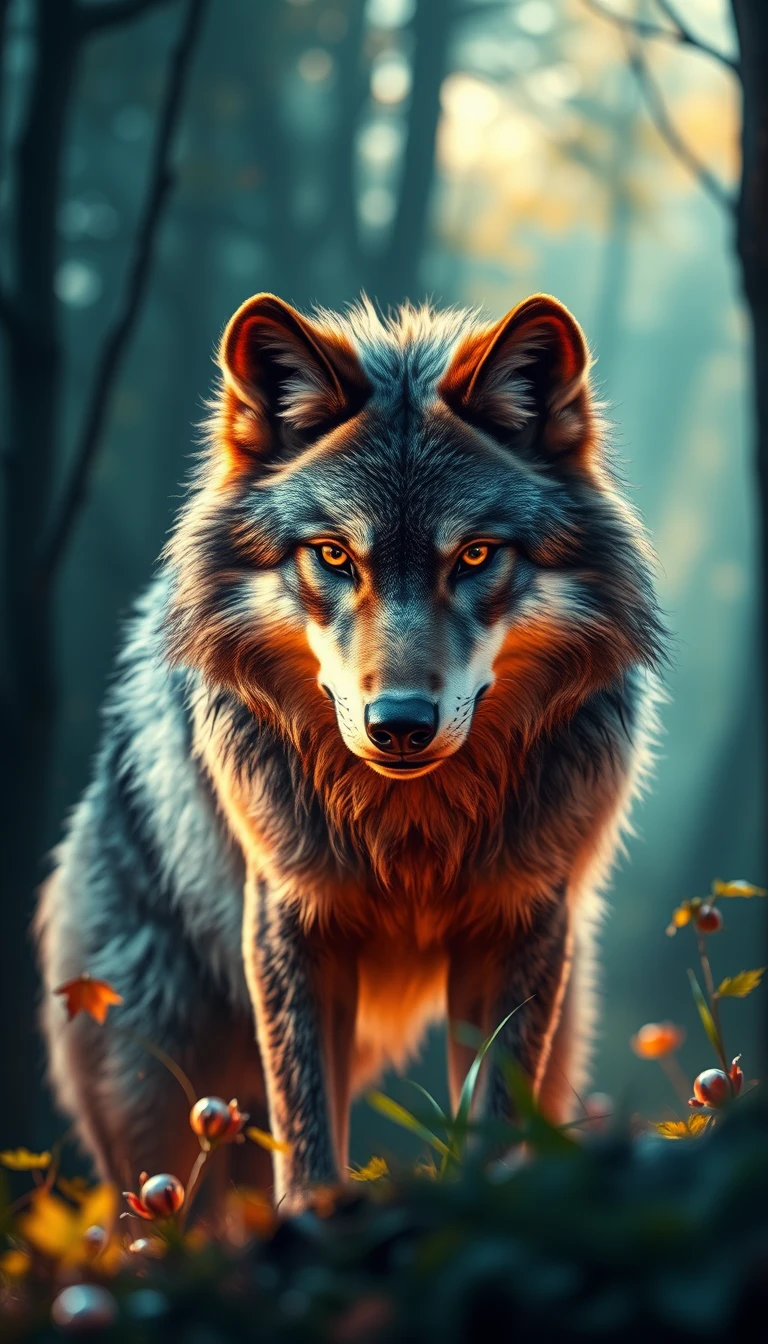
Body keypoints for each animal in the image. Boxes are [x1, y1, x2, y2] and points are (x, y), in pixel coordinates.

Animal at [37, 292, 664, 1211]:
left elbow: (490, 1110)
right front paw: (315, 1215)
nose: (398, 723)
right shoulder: (293, 919)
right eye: (334, 554)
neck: (412, 830)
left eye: (476, 555)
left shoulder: (517, 925)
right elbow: (305, 1129)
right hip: (156, 1119)